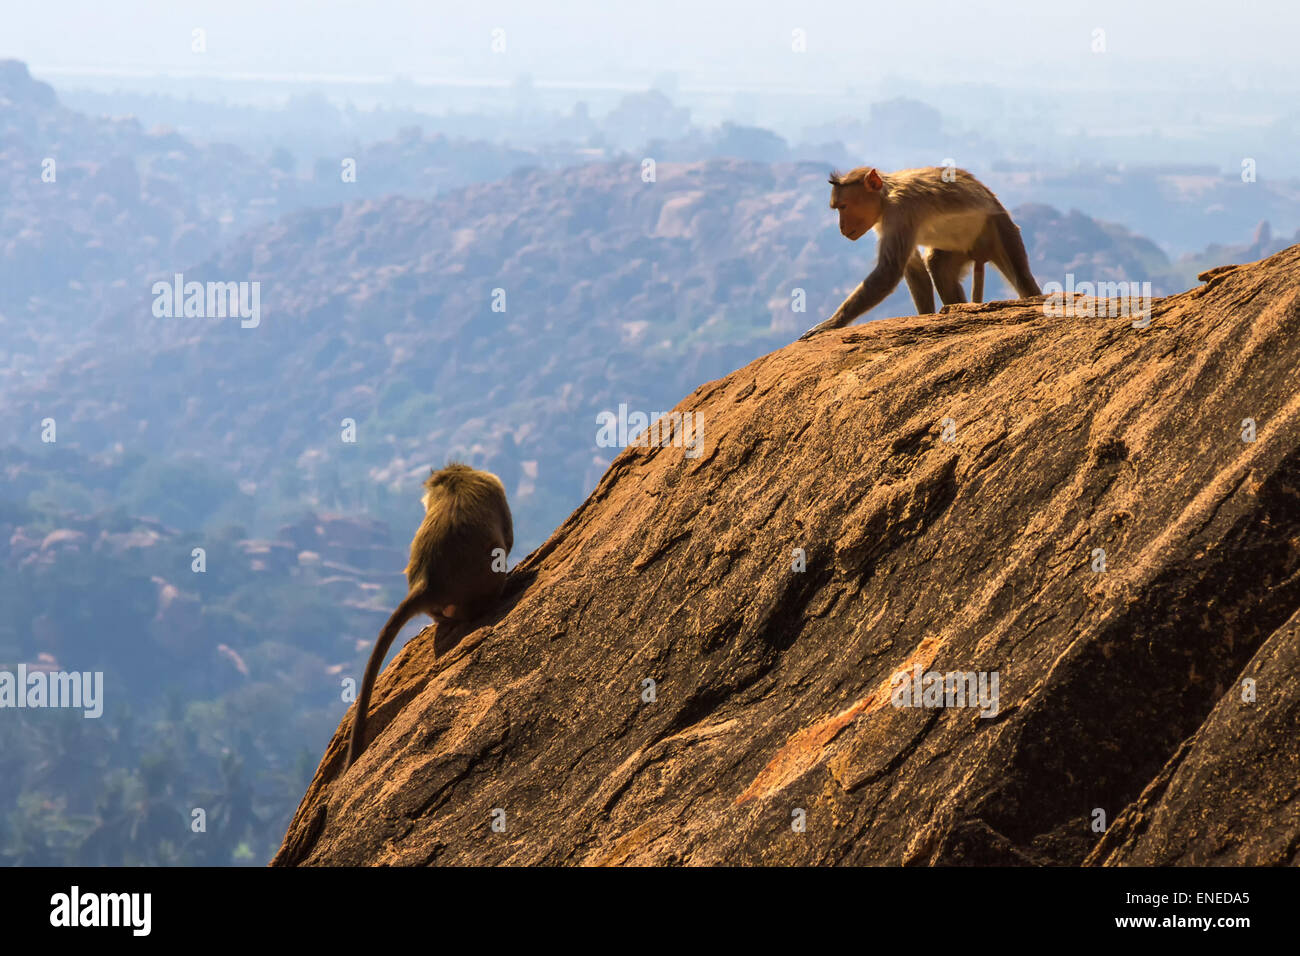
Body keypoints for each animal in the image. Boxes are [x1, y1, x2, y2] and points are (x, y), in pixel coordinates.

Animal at [799, 166, 1041, 339]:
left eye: (843, 207)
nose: (841, 227)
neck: (886, 196)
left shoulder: (900, 211)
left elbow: (889, 270)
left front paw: (833, 322)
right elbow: (914, 268)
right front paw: (925, 318)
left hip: (999, 228)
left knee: (1022, 278)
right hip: (960, 247)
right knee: (938, 265)